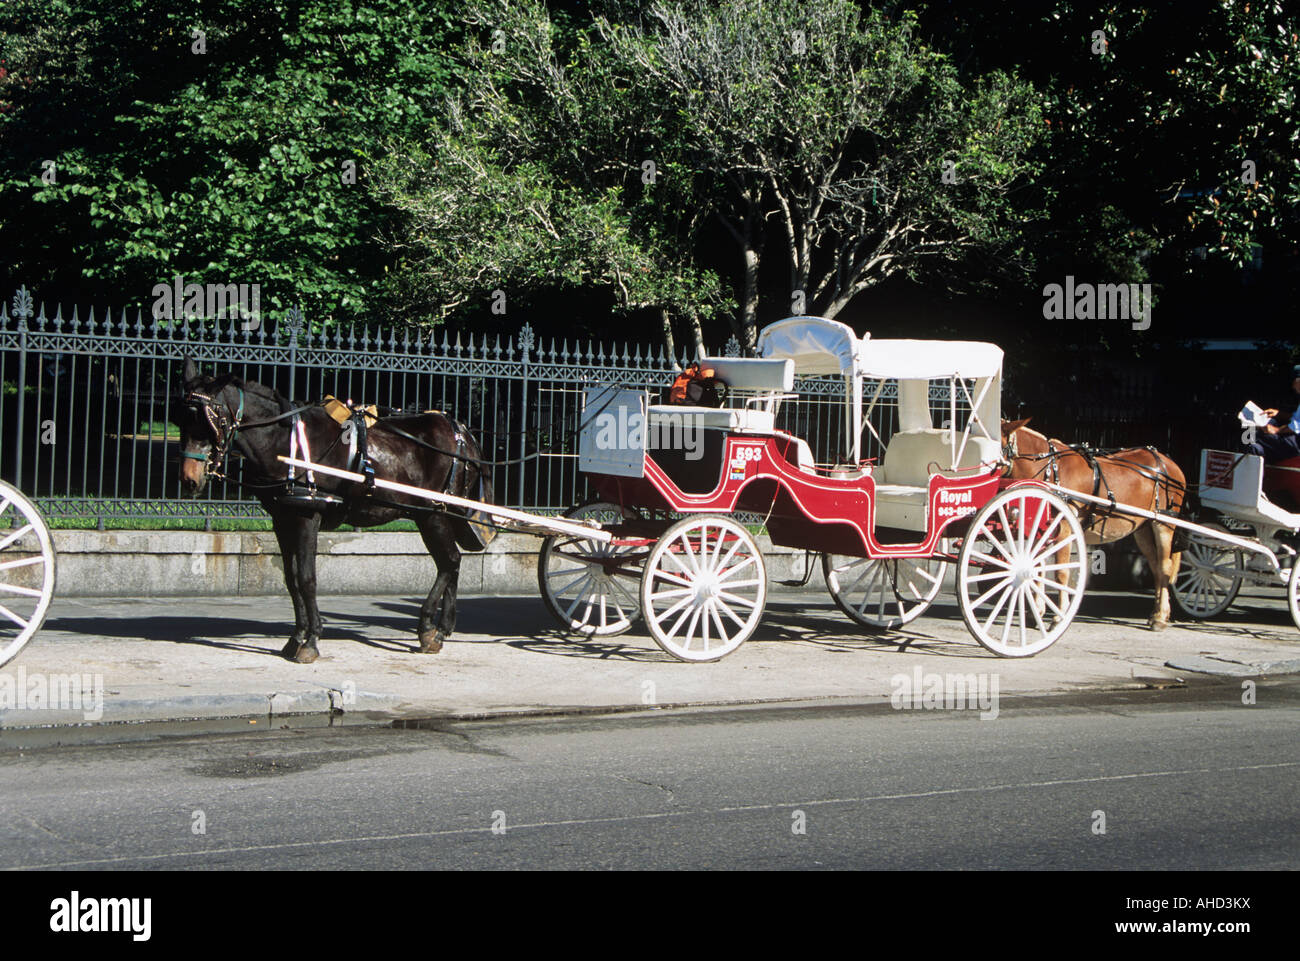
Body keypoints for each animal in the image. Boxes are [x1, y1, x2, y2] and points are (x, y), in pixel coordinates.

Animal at [172, 357, 495, 663]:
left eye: (208, 421)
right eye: (180, 420)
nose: (189, 479)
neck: (286, 441)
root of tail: (461, 432)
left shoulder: (307, 516)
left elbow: (307, 578)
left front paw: (311, 641)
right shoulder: (282, 519)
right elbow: (291, 579)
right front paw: (296, 637)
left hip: (433, 513)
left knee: (449, 561)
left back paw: (428, 628)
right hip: (433, 515)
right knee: (451, 563)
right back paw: (442, 626)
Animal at [1001, 418, 1186, 630]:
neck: (1050, 469)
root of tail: (1169, 463)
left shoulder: (1064, 529)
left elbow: (1061, 573)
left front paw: (1059, 617)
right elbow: (1036, 568)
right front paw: (1036, 613)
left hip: (1163, 524)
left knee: (1164, 567)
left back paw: (1160, 617)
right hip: (1143, 528)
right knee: (1155, 567)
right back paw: (1156, 613)